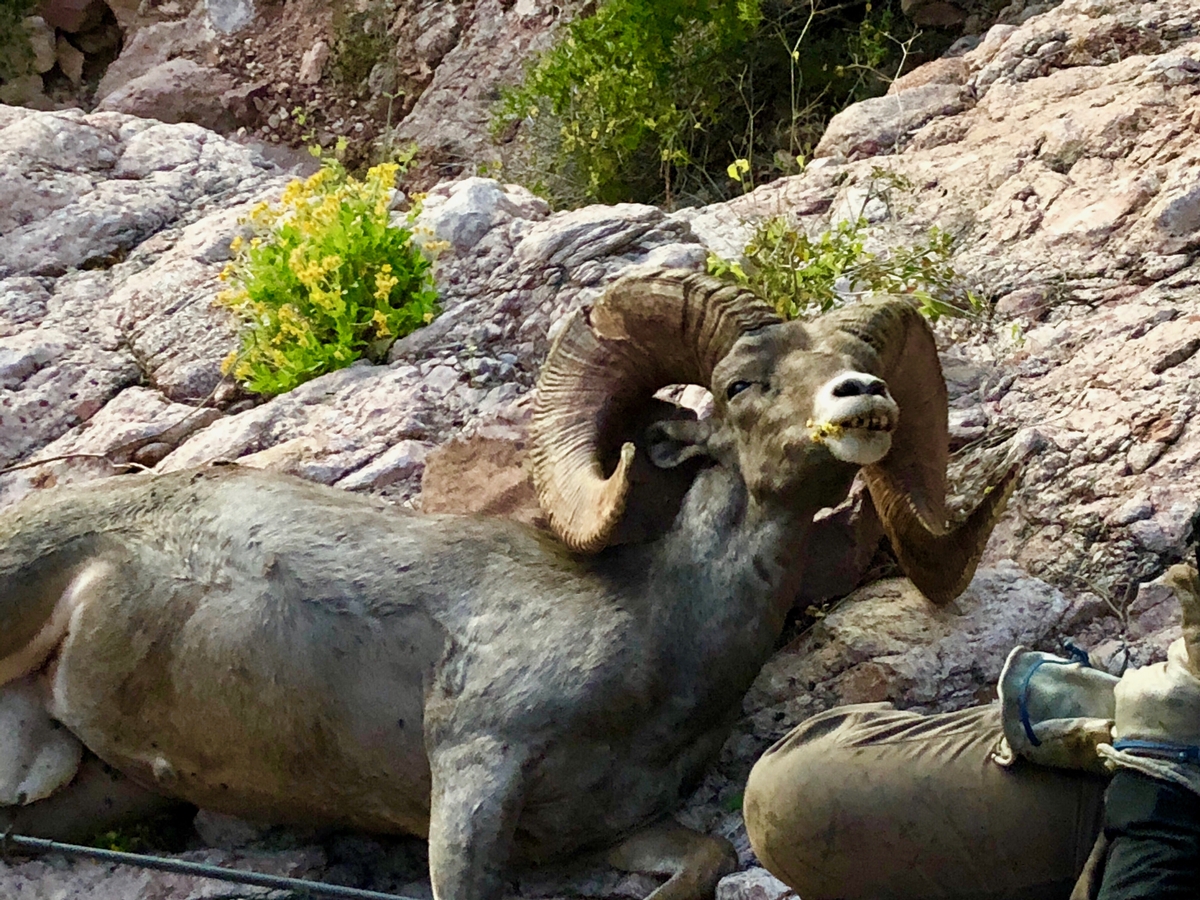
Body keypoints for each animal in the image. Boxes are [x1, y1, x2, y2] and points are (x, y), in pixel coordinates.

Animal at [0, 269, 1017, 900]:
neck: (658, 643)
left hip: (99, 788)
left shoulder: (606, 833)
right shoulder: (473, 779)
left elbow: (703, 859)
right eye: (739, 386)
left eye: (867, 366)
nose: (863, 399)